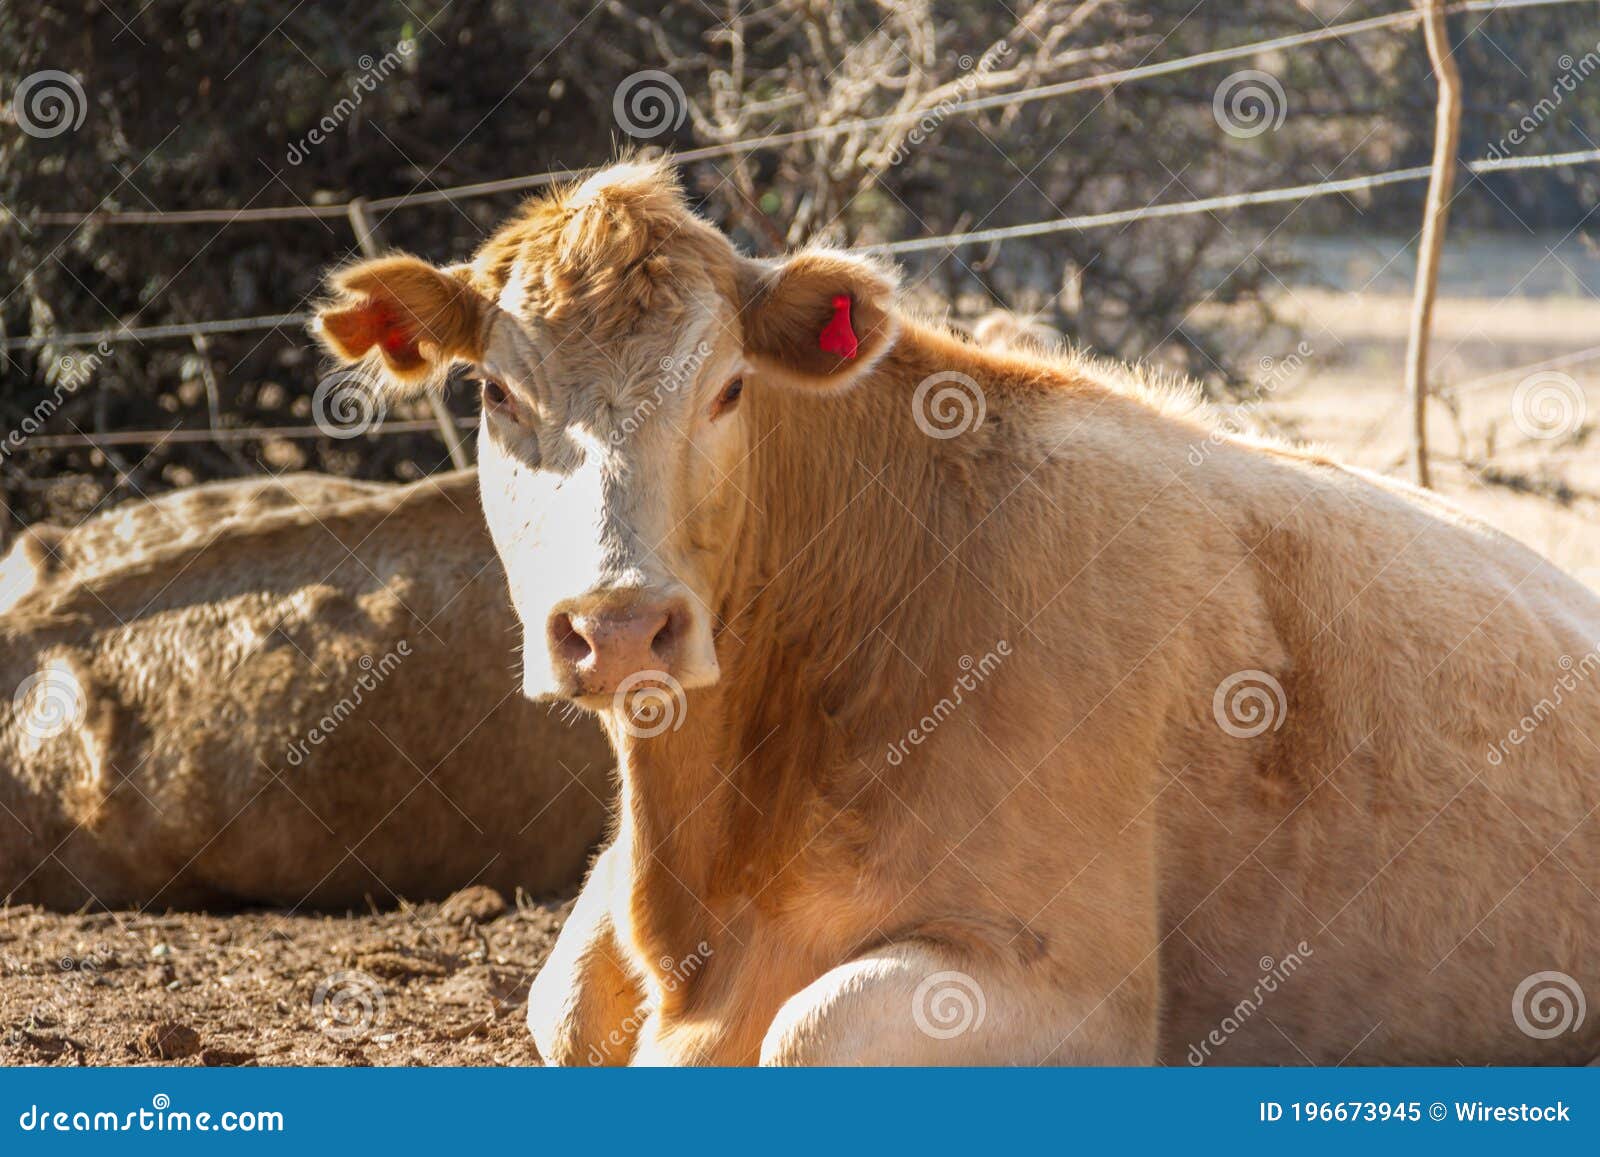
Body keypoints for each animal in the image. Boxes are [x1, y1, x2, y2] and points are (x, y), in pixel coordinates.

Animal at [313, 159, 1600, 1066]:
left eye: (727, 389)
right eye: (492, 391)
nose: (620, 624)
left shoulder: (1088, 994)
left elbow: (804, 1029)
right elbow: (562, 1002)